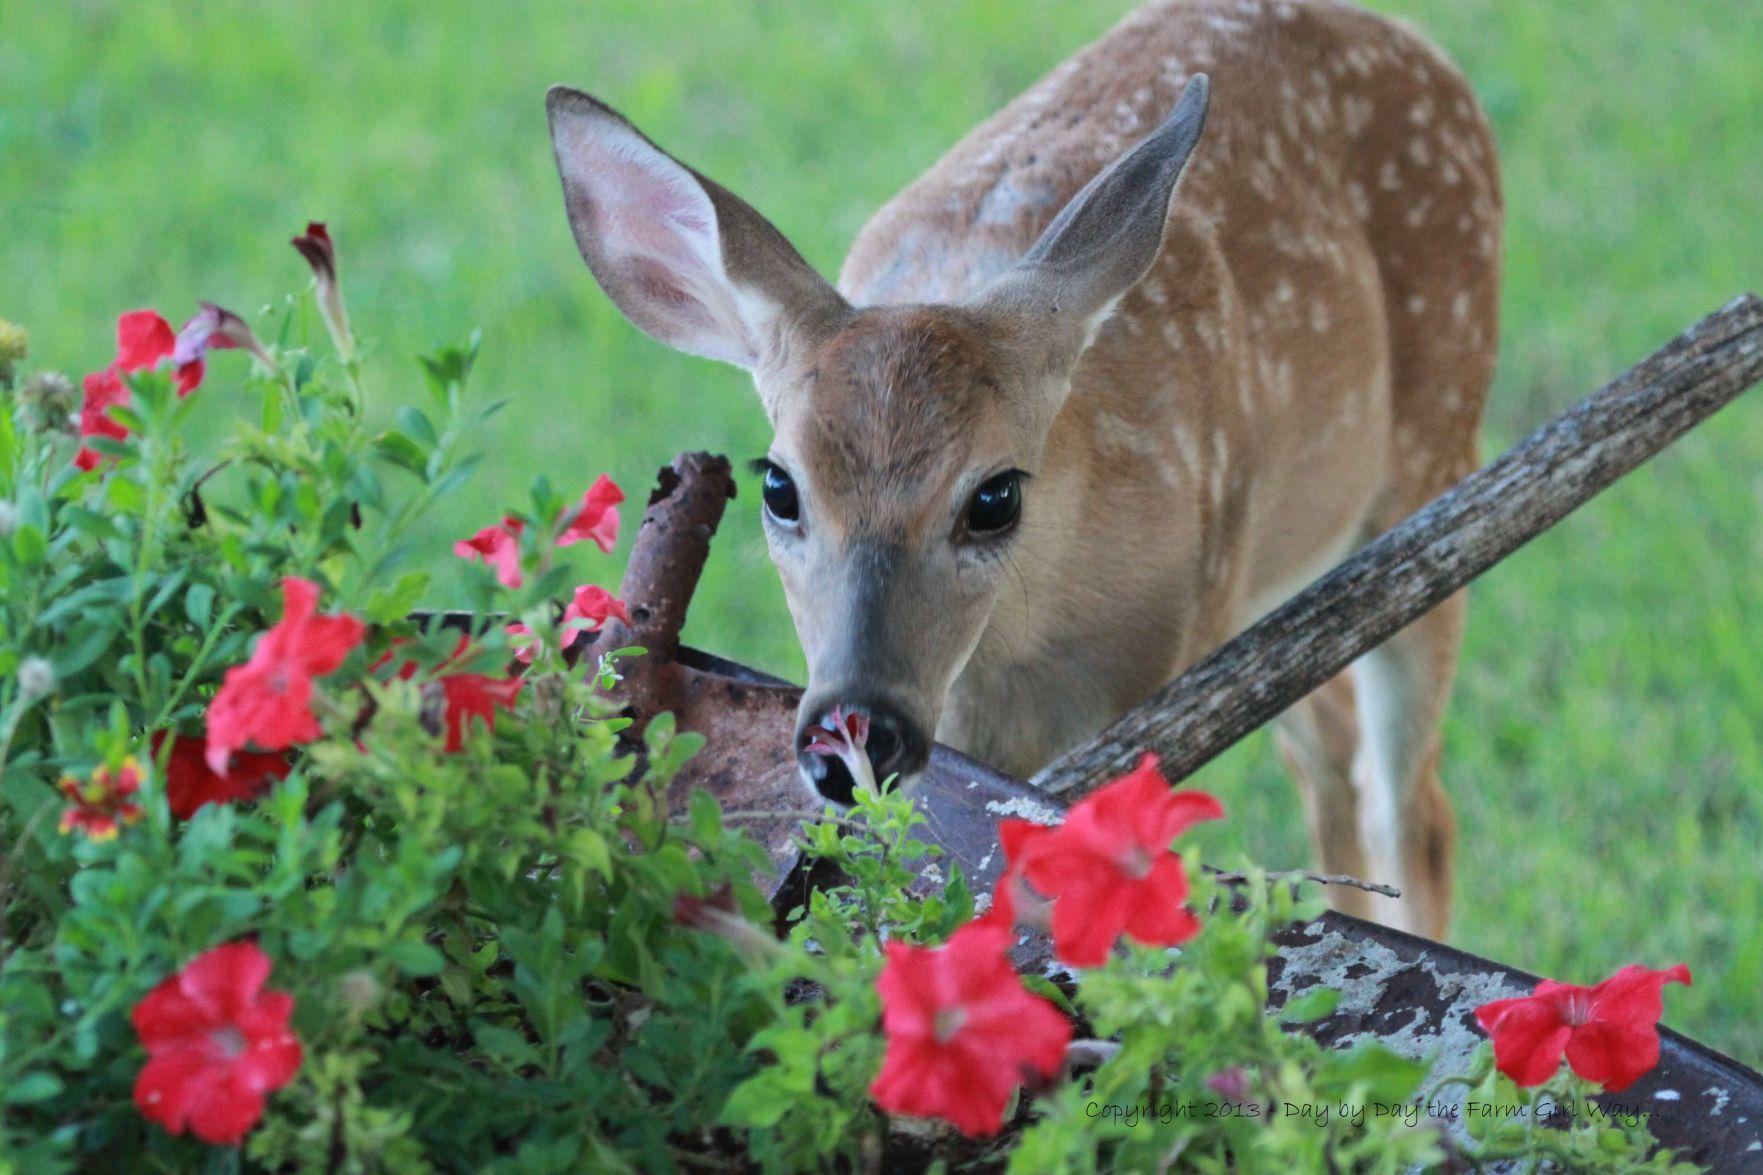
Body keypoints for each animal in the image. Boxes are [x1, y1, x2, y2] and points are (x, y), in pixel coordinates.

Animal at [544, 0, 1501, 939]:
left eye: (994, 495)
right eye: (778, 487)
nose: (855, 735)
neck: (1018, 670)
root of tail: (1409, 40)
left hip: (1430, 454)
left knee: (1413, 807)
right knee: (1335, 762)